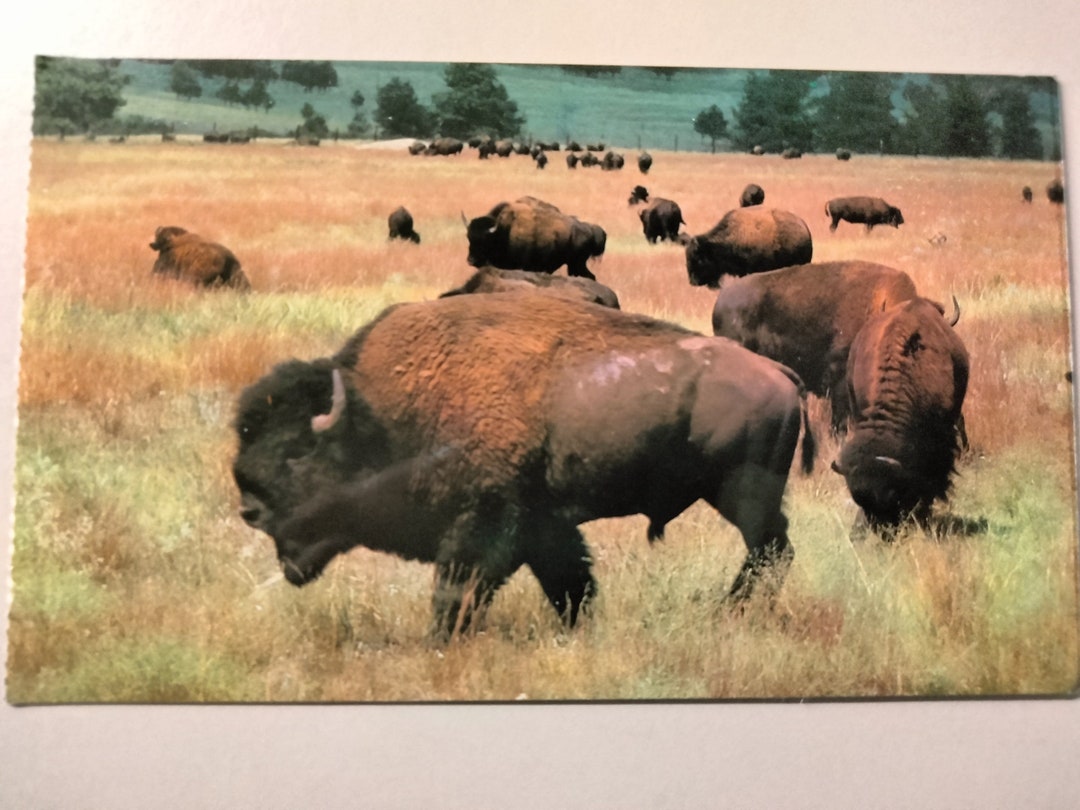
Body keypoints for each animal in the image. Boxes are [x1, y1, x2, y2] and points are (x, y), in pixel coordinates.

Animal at [232, 293, 815, 637]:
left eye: (295, 455)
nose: (249, 509)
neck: (380, 412)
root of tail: (780, 374)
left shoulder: (484, 526)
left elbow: (457, 591)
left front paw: (442, 641)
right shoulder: (543, 525)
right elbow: (570, 582)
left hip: (744, 492)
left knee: (770, 551)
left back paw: (728, 613)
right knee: (774, 552)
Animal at [464, 196, 607, 280]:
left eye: (484, 240)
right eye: (469, 238)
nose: (471, 260)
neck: (503, 230)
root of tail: (590, 229)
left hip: (576, 264)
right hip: (574, 265)